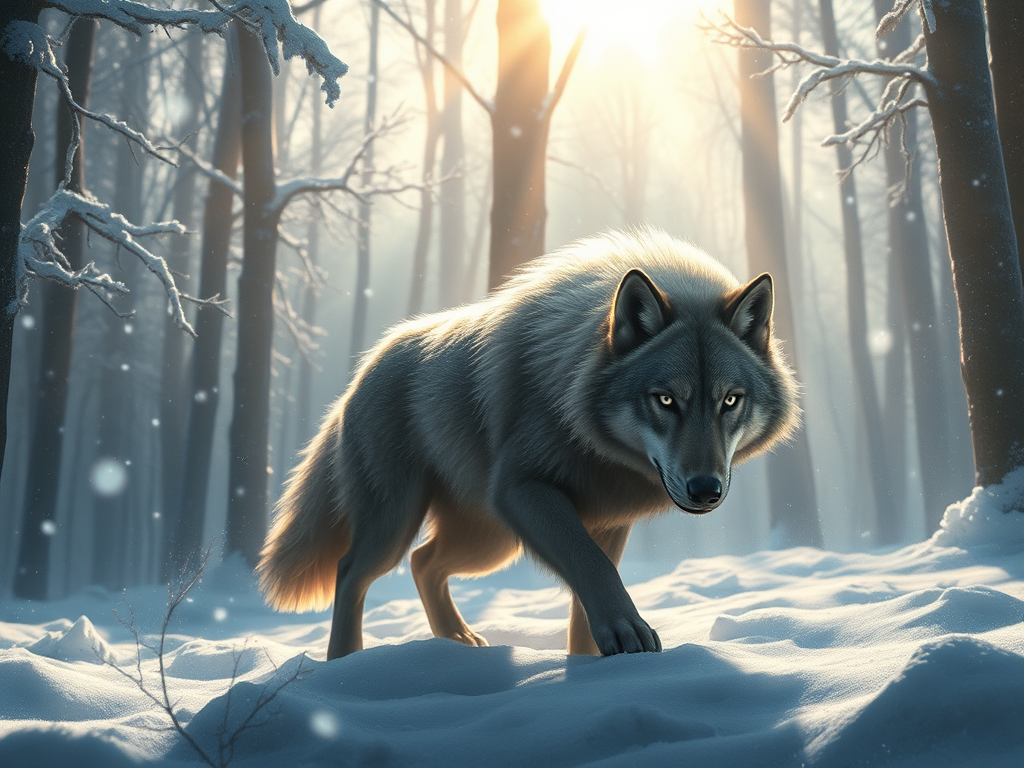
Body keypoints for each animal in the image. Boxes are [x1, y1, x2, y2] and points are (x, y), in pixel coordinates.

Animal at [258, 229, 800, 660]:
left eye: (730, 400)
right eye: (666, 400)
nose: (706, 489)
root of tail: (364, 368)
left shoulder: (608, 521)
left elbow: (588, 592)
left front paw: (592, 664)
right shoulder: (524, 490)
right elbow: (592, 565)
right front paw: (627, 632)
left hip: (490, 541)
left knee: (424, 561)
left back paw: (457, 641)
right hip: (405, 522)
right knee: (352, 570)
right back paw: (344, 664)